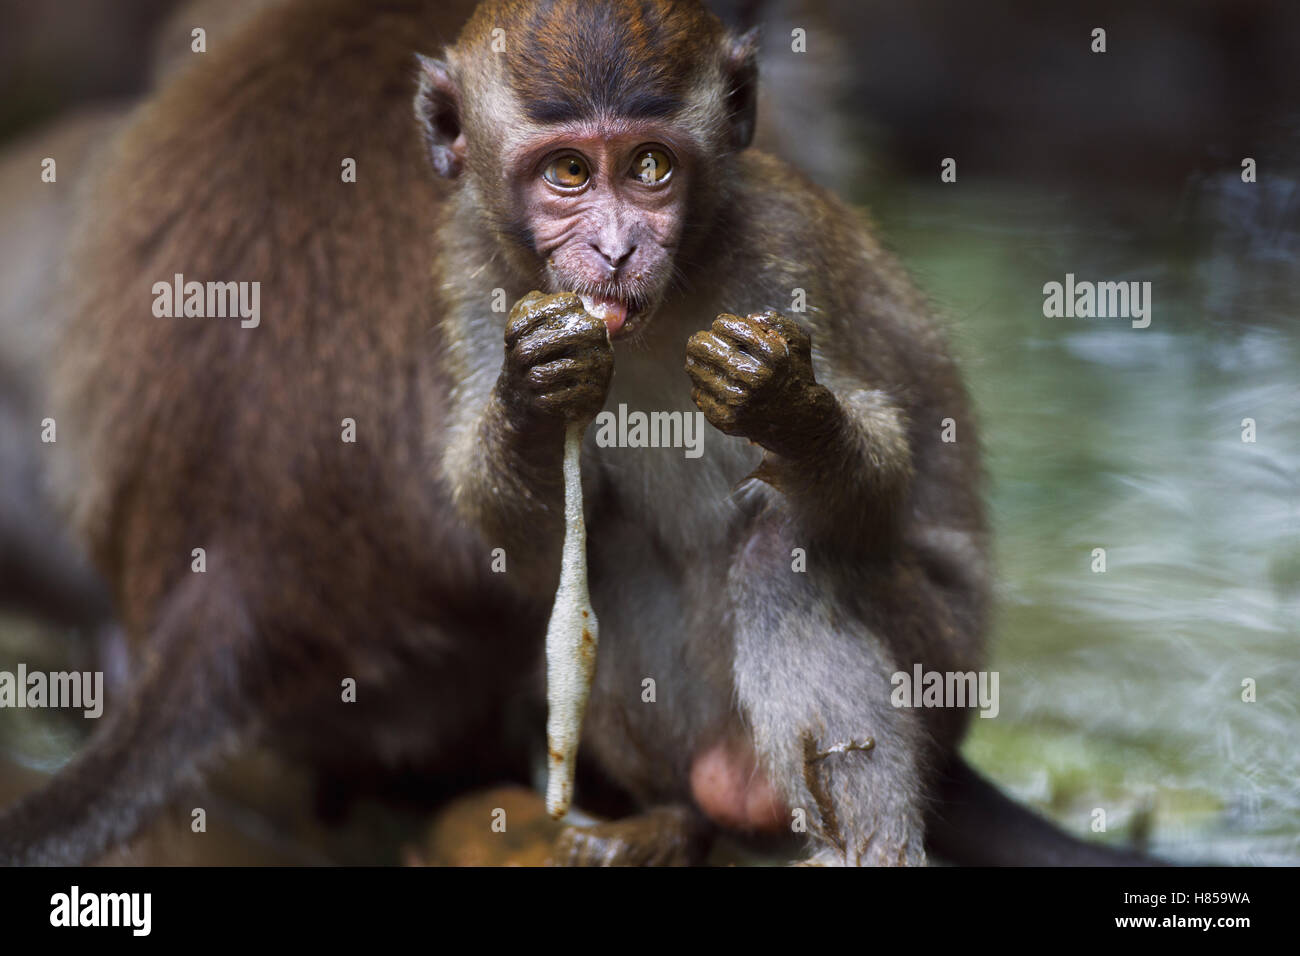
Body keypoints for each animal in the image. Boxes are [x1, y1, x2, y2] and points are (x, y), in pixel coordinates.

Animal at [0, 0, 1155, 866]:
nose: (611, 252)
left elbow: (874, 479)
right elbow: (516, 522)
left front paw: (784, 401)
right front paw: (529, 389)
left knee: (783, 547)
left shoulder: (784, 248)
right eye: (566, 173)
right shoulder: (466, 254)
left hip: (943, 660)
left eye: (648, 167)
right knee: (601, 550)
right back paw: (671, 820)